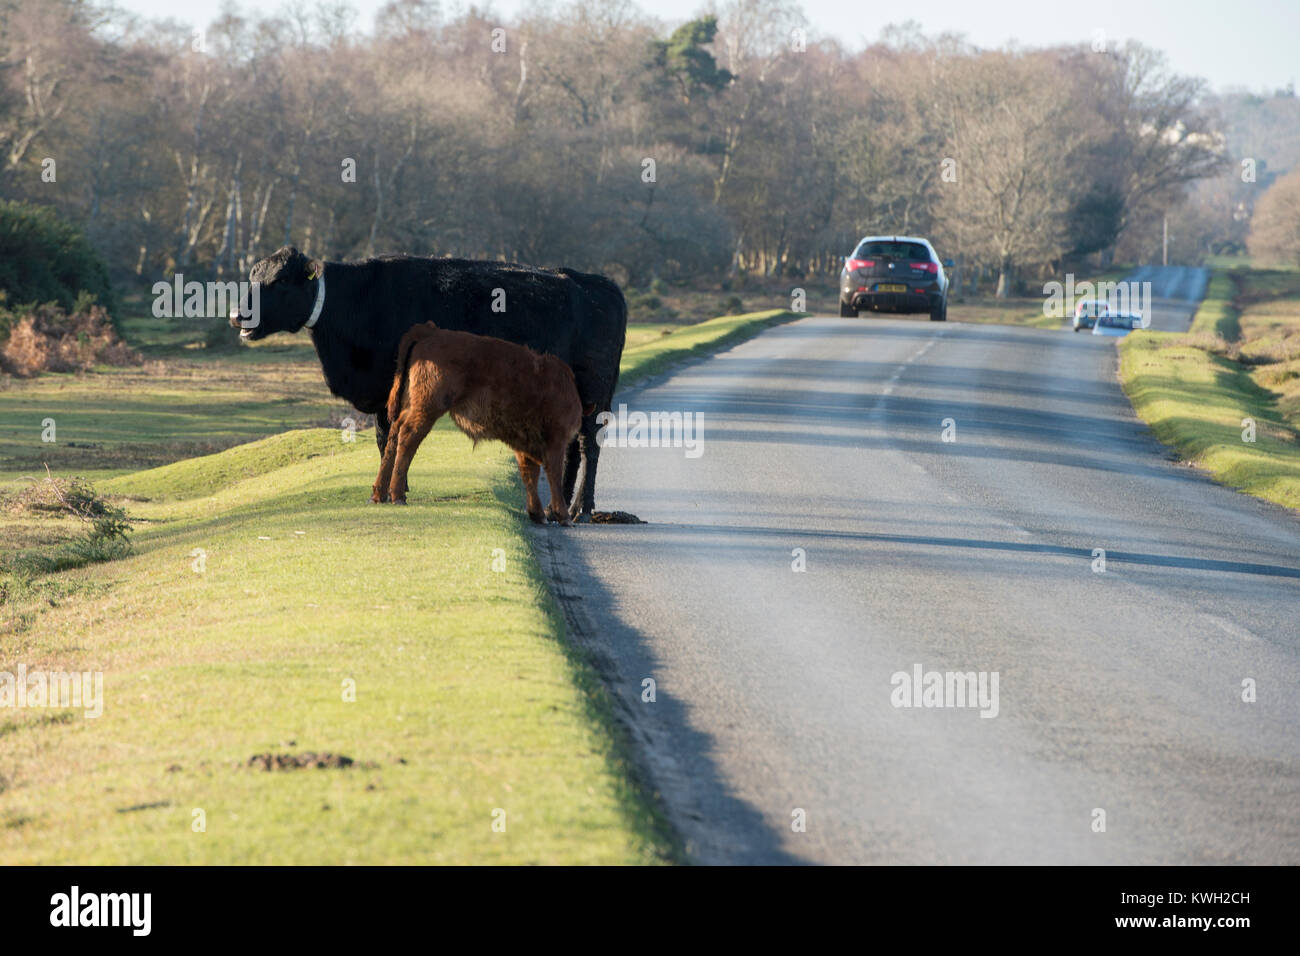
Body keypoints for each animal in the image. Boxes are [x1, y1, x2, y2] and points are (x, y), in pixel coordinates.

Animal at [373, 322, 592, 524]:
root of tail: (431, 331)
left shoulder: (525, 441)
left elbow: (530, 473)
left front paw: (537, 513)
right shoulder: (556, 438)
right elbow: (554, 473)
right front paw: (562, 515)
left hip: (412, 405)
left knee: (393, 435)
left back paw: (379, 494)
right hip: (427, 408)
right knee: (408, 437)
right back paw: (397, 495)